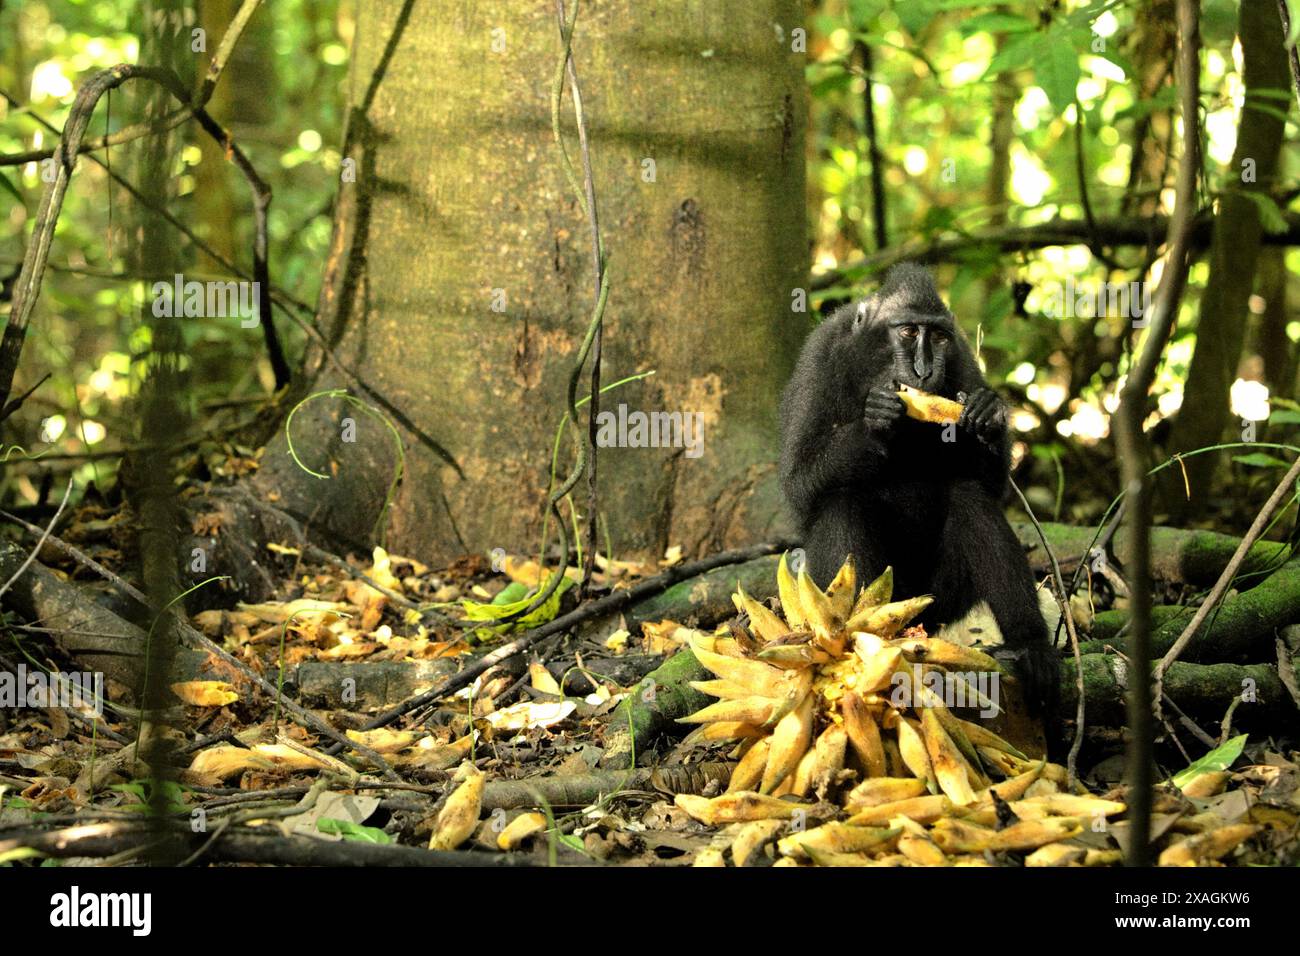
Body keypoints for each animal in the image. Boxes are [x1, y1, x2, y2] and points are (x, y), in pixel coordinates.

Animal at [779, 263, 1058, 721]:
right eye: (908, 331)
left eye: (939, 337)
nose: (925, 370)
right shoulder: (818, 361)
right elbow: (799, 482)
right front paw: (875, 423)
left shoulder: (962, 363)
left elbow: (991, 487)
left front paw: (989, 415)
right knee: (842, 500)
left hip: (938, 601)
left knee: (969, 496)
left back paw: (1030, 646)